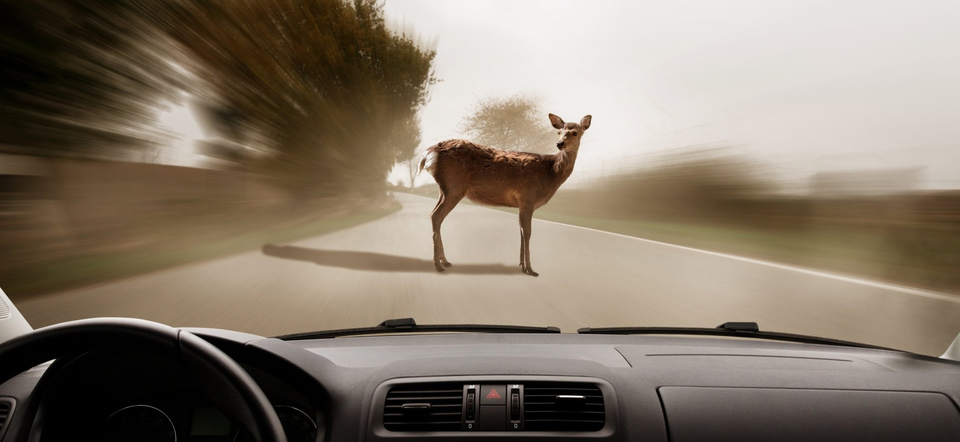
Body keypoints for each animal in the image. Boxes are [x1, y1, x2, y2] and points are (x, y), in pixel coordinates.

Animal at [417, 113, 591, 276]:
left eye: (574, 132)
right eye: (559, 132)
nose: (560, 144)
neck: (551, 173)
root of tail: (428, 153)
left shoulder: (522, 203)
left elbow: (521, 231)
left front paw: (522, 265)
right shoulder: (527, 198)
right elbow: (527, 232)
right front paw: (530, 269)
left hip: (445, 189)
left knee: (435, 214)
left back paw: (445, 261)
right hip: (454, 186)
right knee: (436, 215)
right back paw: (438, 265)